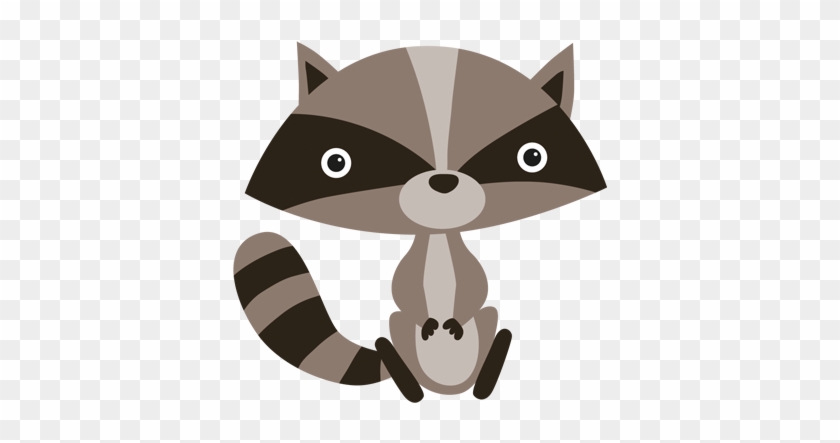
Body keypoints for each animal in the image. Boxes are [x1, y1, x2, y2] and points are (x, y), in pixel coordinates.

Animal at [234, 43, 606, 402]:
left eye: (532, 156)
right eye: (336, 162)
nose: (443, 180)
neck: (437, 236)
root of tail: (447, 387)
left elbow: (474, 286)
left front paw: (453, 319)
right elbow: (405, 288)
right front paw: (429, 320)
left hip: (486, 321)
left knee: (495, 330)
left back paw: (488, 373)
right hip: (398, 328)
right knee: (393, 344)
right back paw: (407, 379)